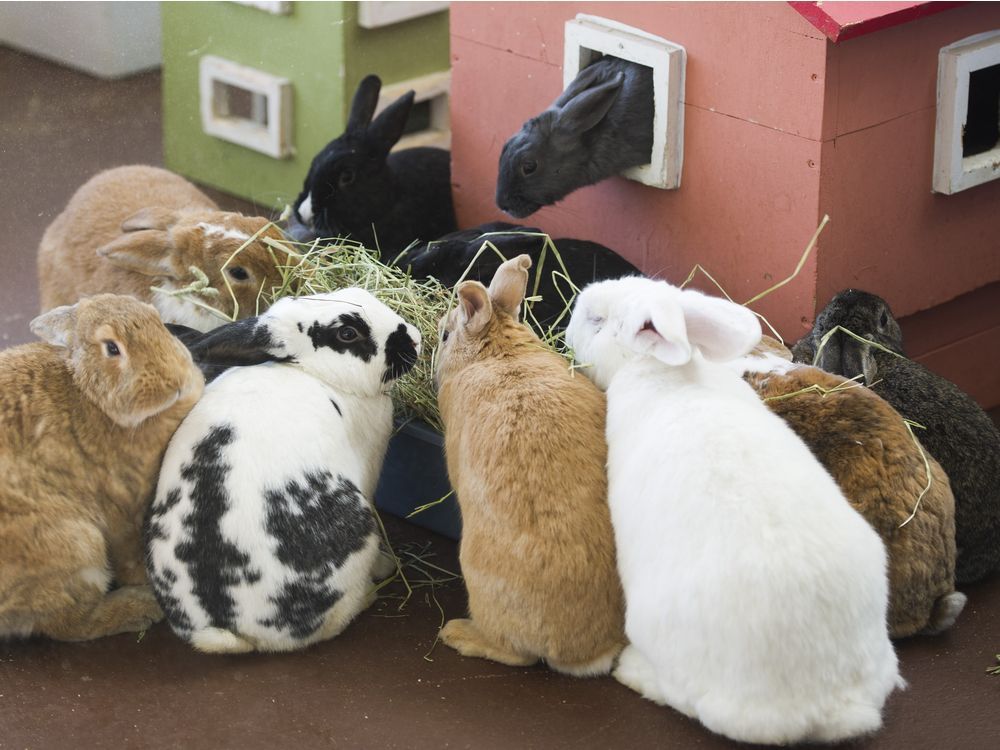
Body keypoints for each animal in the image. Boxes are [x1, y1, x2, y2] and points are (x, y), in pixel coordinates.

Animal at [0, 294, 204, 641]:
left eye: (156, 320)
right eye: (111, 348)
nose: (176, 380)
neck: (93, 399)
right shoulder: (122, 510)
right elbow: (130, 554)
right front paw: (145, 580)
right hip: (78, 546)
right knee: (68, 624)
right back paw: (140, 606)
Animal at [145, 289, 421, 653]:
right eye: (348, 333)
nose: (415, 338)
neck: (314, 373)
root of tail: (235, 631)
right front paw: (386, 564)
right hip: (360, 532)